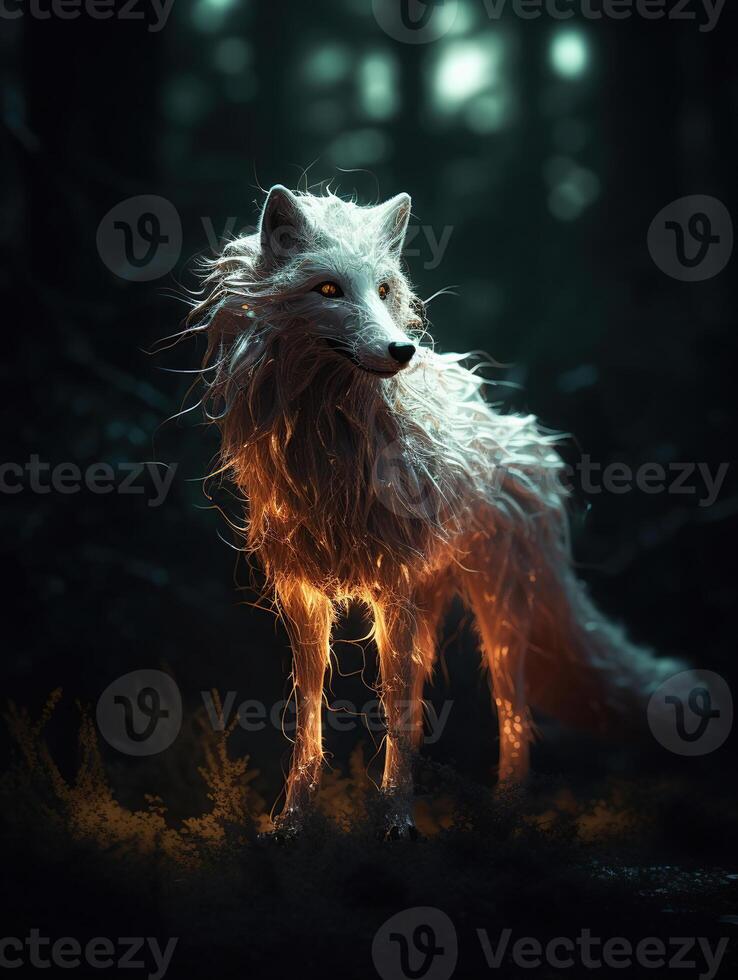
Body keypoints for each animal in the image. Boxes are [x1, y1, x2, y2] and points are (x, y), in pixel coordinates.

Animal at [184, 184, 682, 838]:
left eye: (384, 290)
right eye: (328, 289)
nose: (403, 350)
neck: (329, 441)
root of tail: (524, 433)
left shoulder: (391, 586)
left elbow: (393, 715)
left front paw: (396, 823)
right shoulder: (302, 592)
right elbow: (311, 720)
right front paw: (294, 823)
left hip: (498, 617)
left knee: (513, 716)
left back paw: (507, 812)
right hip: (432, 607)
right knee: (427, 709)